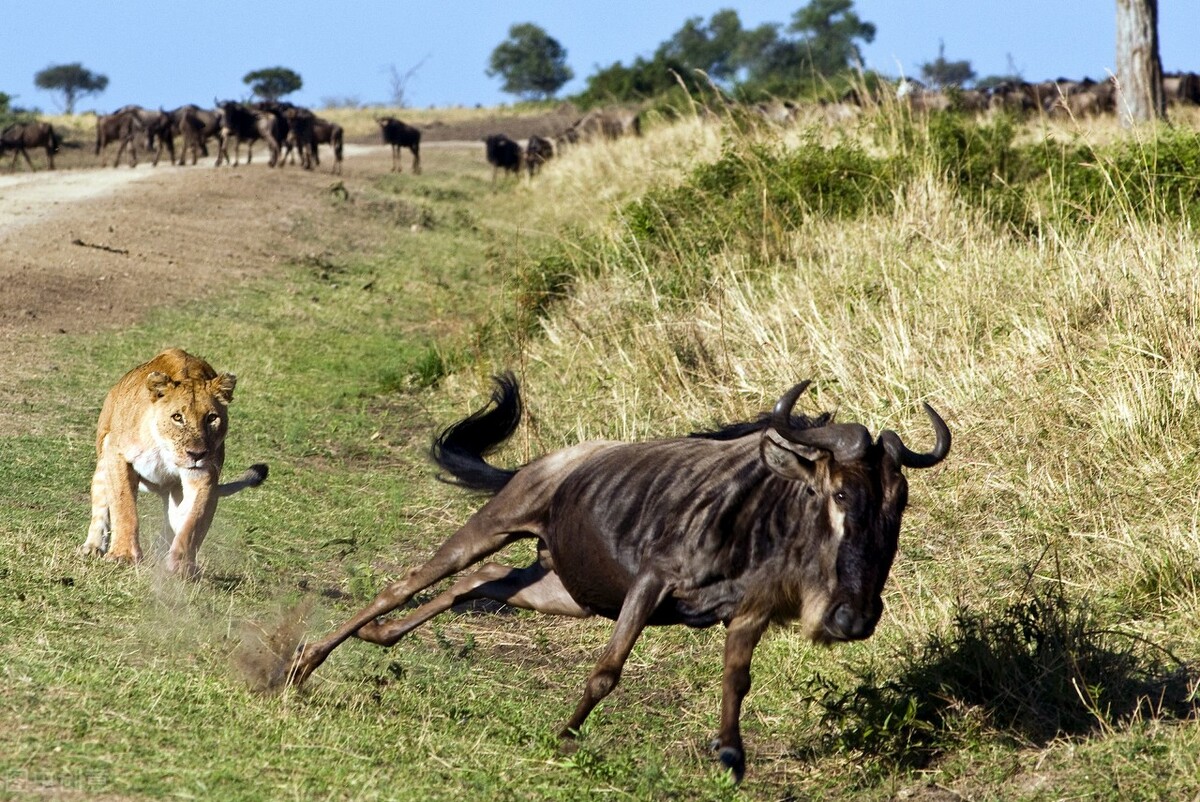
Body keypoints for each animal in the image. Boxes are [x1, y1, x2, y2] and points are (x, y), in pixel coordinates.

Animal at [79, 348, 267, 578]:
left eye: (211, 418)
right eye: (177, 417)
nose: (196, 454)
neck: (165, 449)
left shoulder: (203, 474)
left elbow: (194, 522)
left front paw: (181, 566)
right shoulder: (117, 454)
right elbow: (124, 507)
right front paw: (124, 555)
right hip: (103, 461)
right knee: (101, 507)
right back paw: (93, 547)